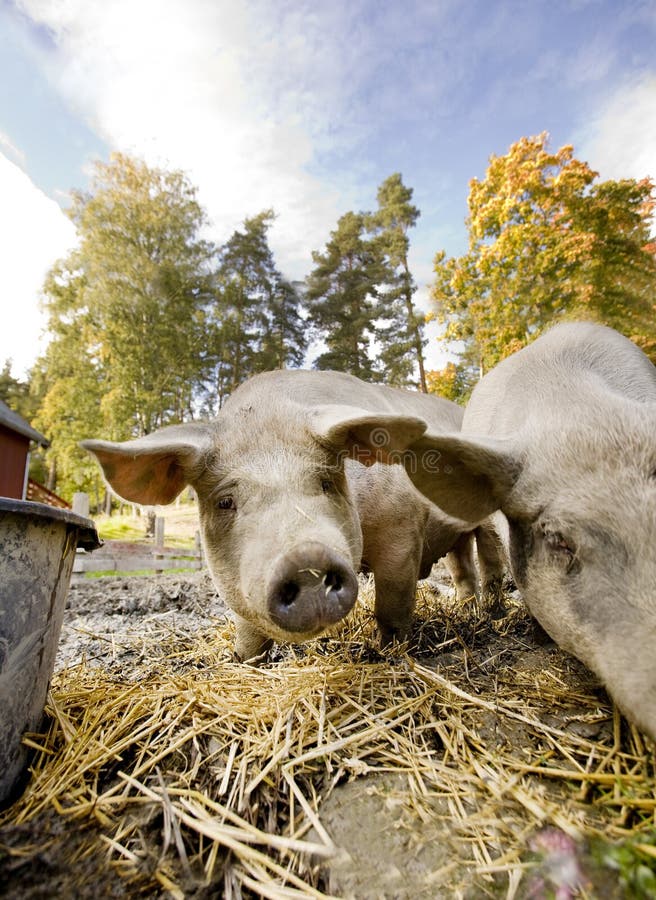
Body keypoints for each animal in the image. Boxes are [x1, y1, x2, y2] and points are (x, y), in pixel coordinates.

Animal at [81, 369, 506, 660]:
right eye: (225, 502)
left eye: (325, 482)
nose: (305, 560)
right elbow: (248, 632)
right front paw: (244, 662)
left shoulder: (401, 530)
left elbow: (392, 604)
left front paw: (386, 652)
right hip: (455, 538)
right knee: (462, 568)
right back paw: (467, 608)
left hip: (492, 517)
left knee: (492, 564)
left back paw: (493, 614)